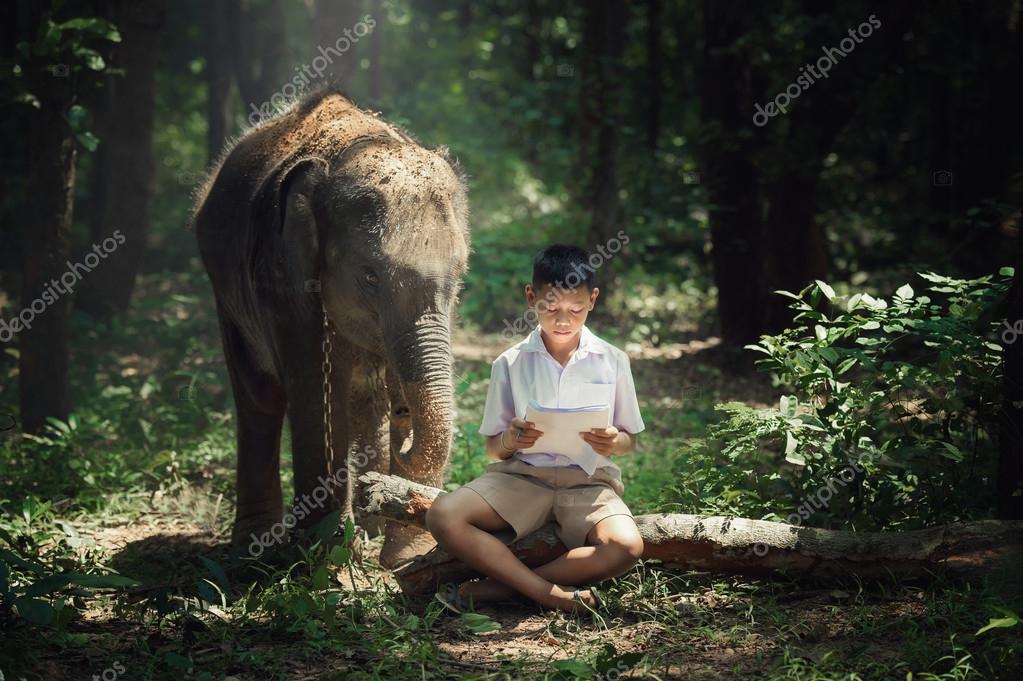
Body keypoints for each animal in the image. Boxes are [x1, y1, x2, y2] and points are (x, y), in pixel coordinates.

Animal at [192, 89, 469, 568]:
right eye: (370, 276)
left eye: (459, 274)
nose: (406, 434)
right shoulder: (283, 280)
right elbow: (314, 393)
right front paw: (326, 554)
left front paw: (400, 556)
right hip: (224, 292)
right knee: (260, 399)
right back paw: (254, 549)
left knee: (364, 398)